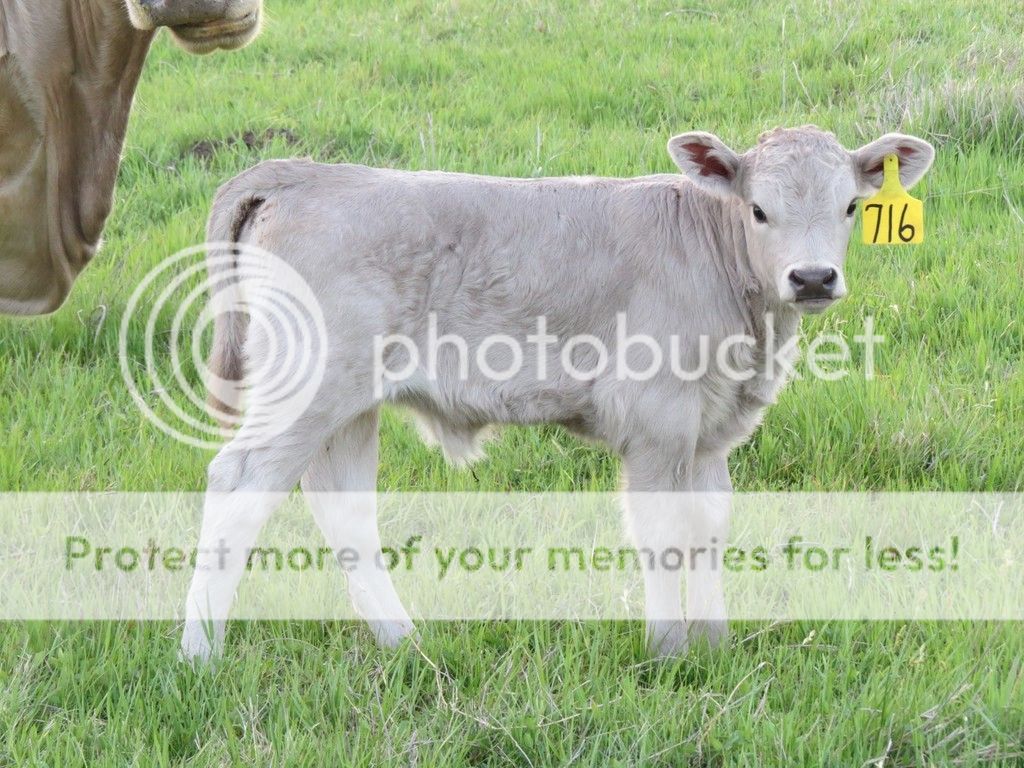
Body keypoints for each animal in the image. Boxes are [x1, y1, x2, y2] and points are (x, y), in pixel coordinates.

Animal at [180, 126, 934, 662]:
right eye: (758, 210)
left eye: (850, 205)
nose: (812, 278)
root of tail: (305, 174)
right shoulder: (658, 421)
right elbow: (663, 534)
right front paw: (668, 652)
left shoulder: (711, 430)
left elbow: (710, 529)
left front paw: (714, 644)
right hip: (309, 385)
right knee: (239, 482)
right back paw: (198, 653)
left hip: (348, 404)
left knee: (343, 510)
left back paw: (405, 642)